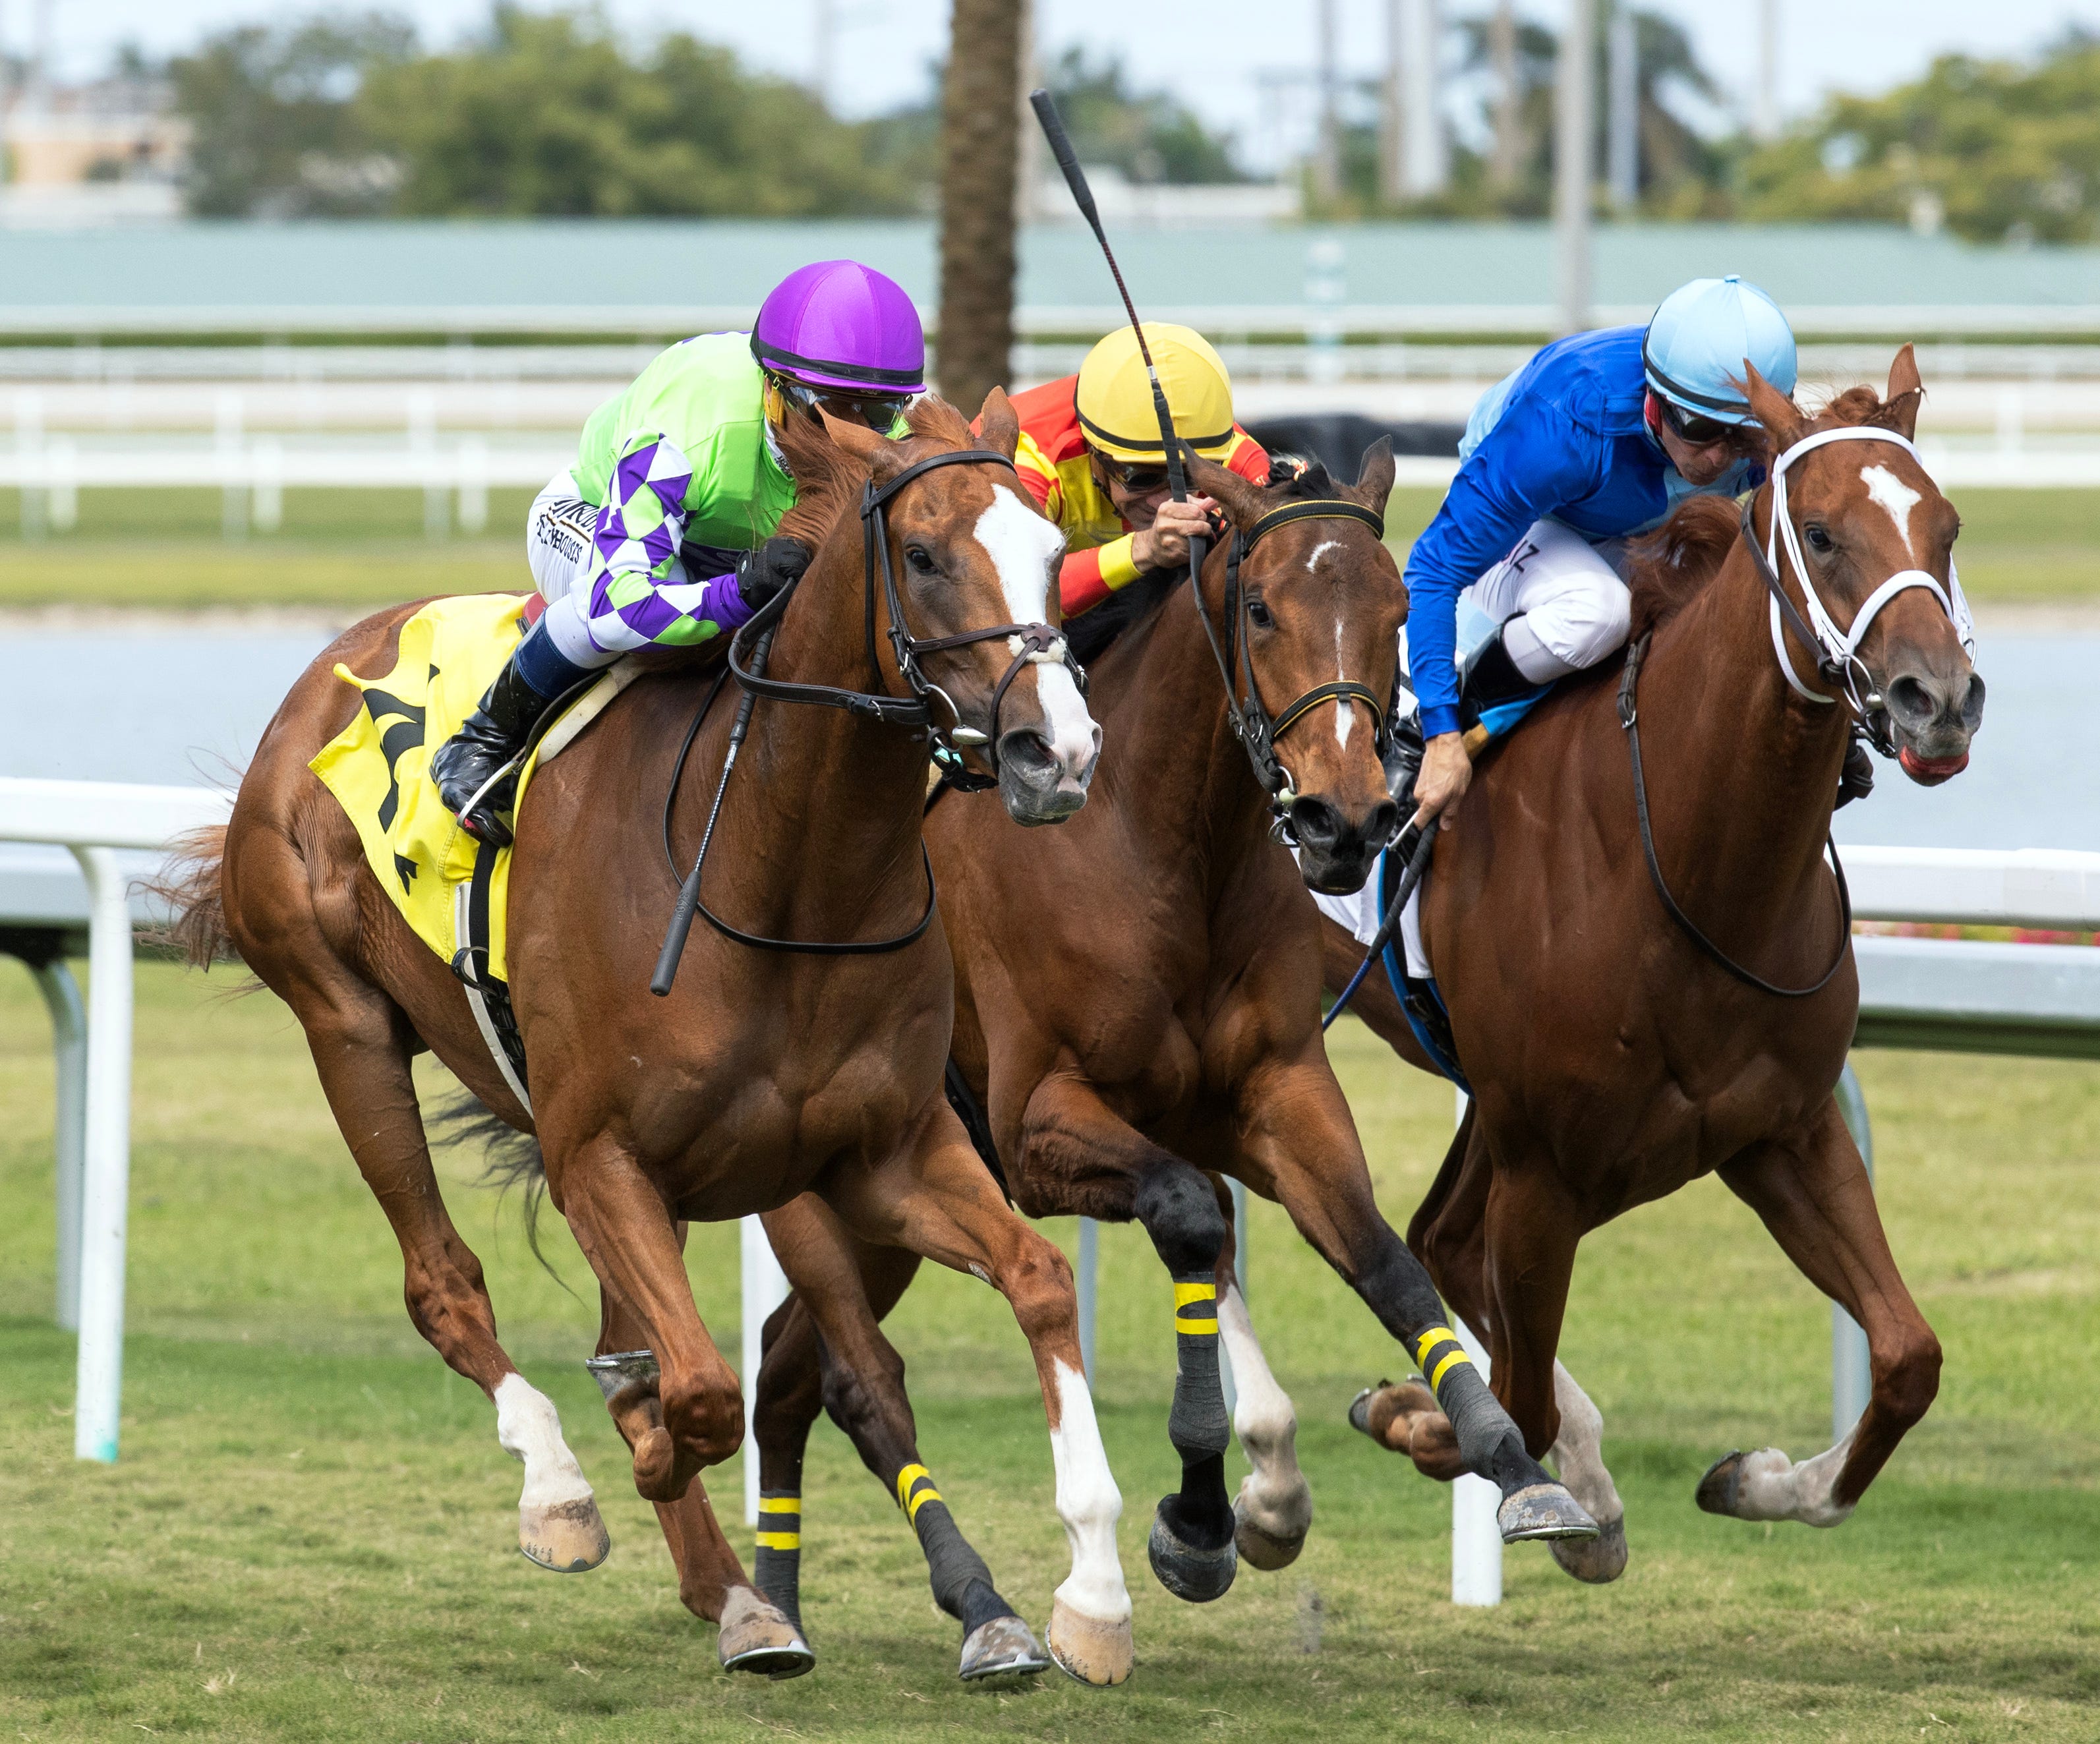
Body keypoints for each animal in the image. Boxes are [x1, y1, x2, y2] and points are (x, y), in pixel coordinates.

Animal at [157, 394, 1145, 1684]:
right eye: (925, 557)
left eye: (1053, 549)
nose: (1057, 753)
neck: (784, 874)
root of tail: (325, 674)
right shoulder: (599, 1155)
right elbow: (700, 1394)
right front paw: (633, 1462)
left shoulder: (877, 1153)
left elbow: (1033, 1283)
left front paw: (1093, 1595)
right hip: (346, 1024)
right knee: (446, 1285)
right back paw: (566, 1494)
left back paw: (731, 1586)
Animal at [664, 443, 1602, 1678]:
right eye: (1260, 610)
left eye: (1398, 614)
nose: (1347, 819)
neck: (1153, 849)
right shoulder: (1035, 1126)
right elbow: (1192, 1216)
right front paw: (1196, 1520)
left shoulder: (1273, 1090)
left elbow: (1376, 1255)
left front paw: (1512, 1460)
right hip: (827, 1192)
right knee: (819, 1377)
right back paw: (786, 1607)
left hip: (888, 1214)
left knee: (783, 1374)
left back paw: (776, 1604)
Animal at [1334, 348, 1983, 1583]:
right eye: (1819, 534)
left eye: (1948, 526)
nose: (1939, 701)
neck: (1680, 862)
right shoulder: (1545, 1170)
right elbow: (1513, 1406)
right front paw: (1421, 1414)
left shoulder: (1783, 1129)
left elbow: (1908, 1354)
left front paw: (1762, 1479)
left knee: (1441, 1236)